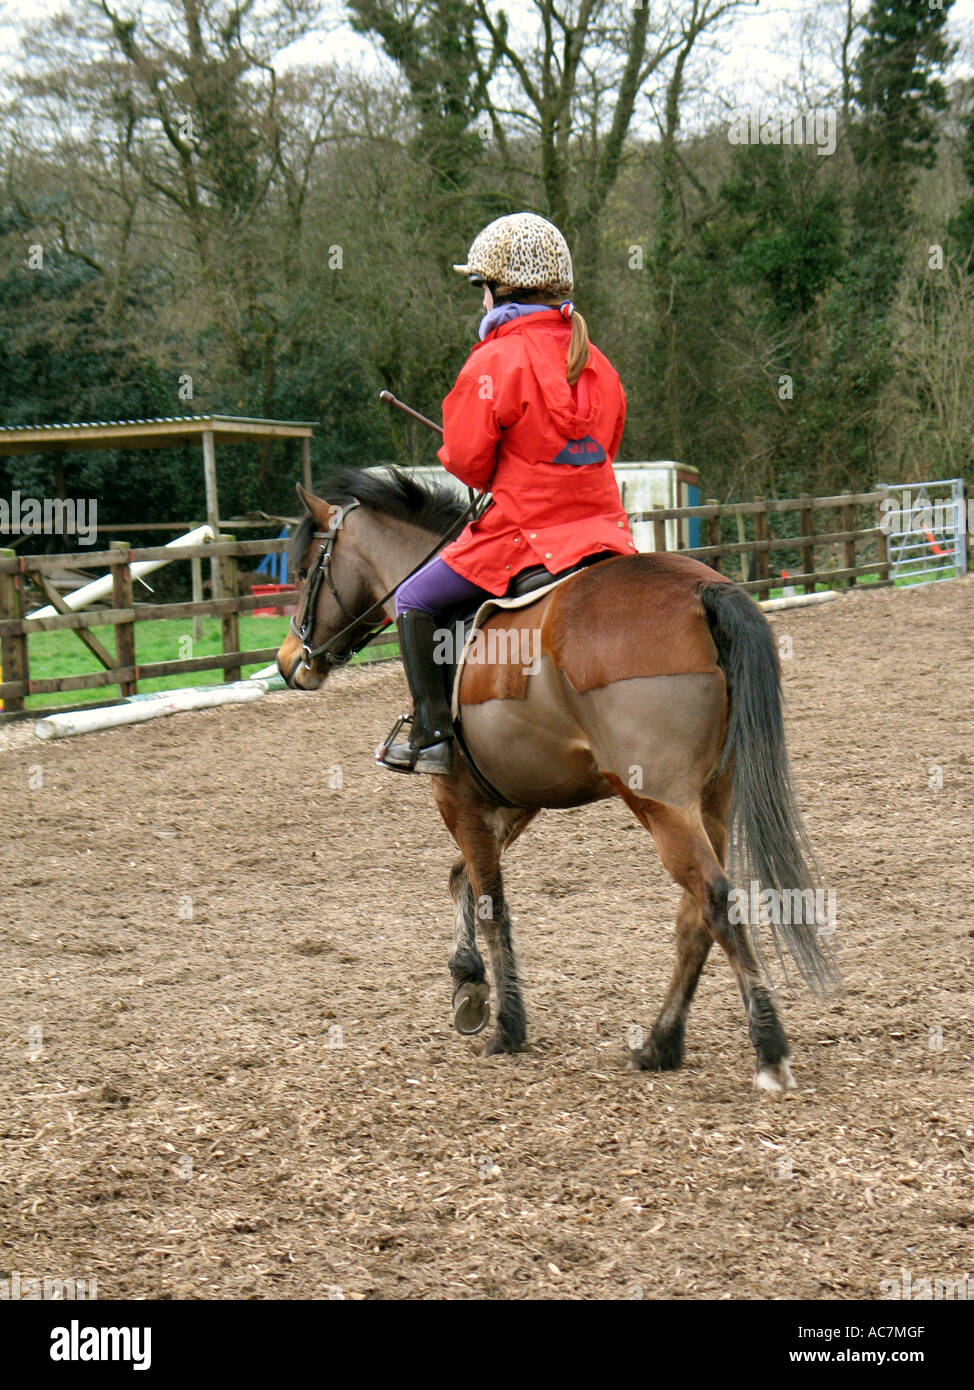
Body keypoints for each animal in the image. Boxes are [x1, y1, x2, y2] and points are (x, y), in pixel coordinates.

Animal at [276, 467, 837, 1091]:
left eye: (303, 572)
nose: (289, 662)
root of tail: (700, 590)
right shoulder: (517, 796)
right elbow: (460, 878)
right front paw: (468, 985)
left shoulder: (458, 797)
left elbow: (491, 903)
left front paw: (504, 1024)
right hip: (711, 798)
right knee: (694, 914)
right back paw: (660, 1044)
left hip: (658, 801)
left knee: (716, 901)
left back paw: (768, 1051)